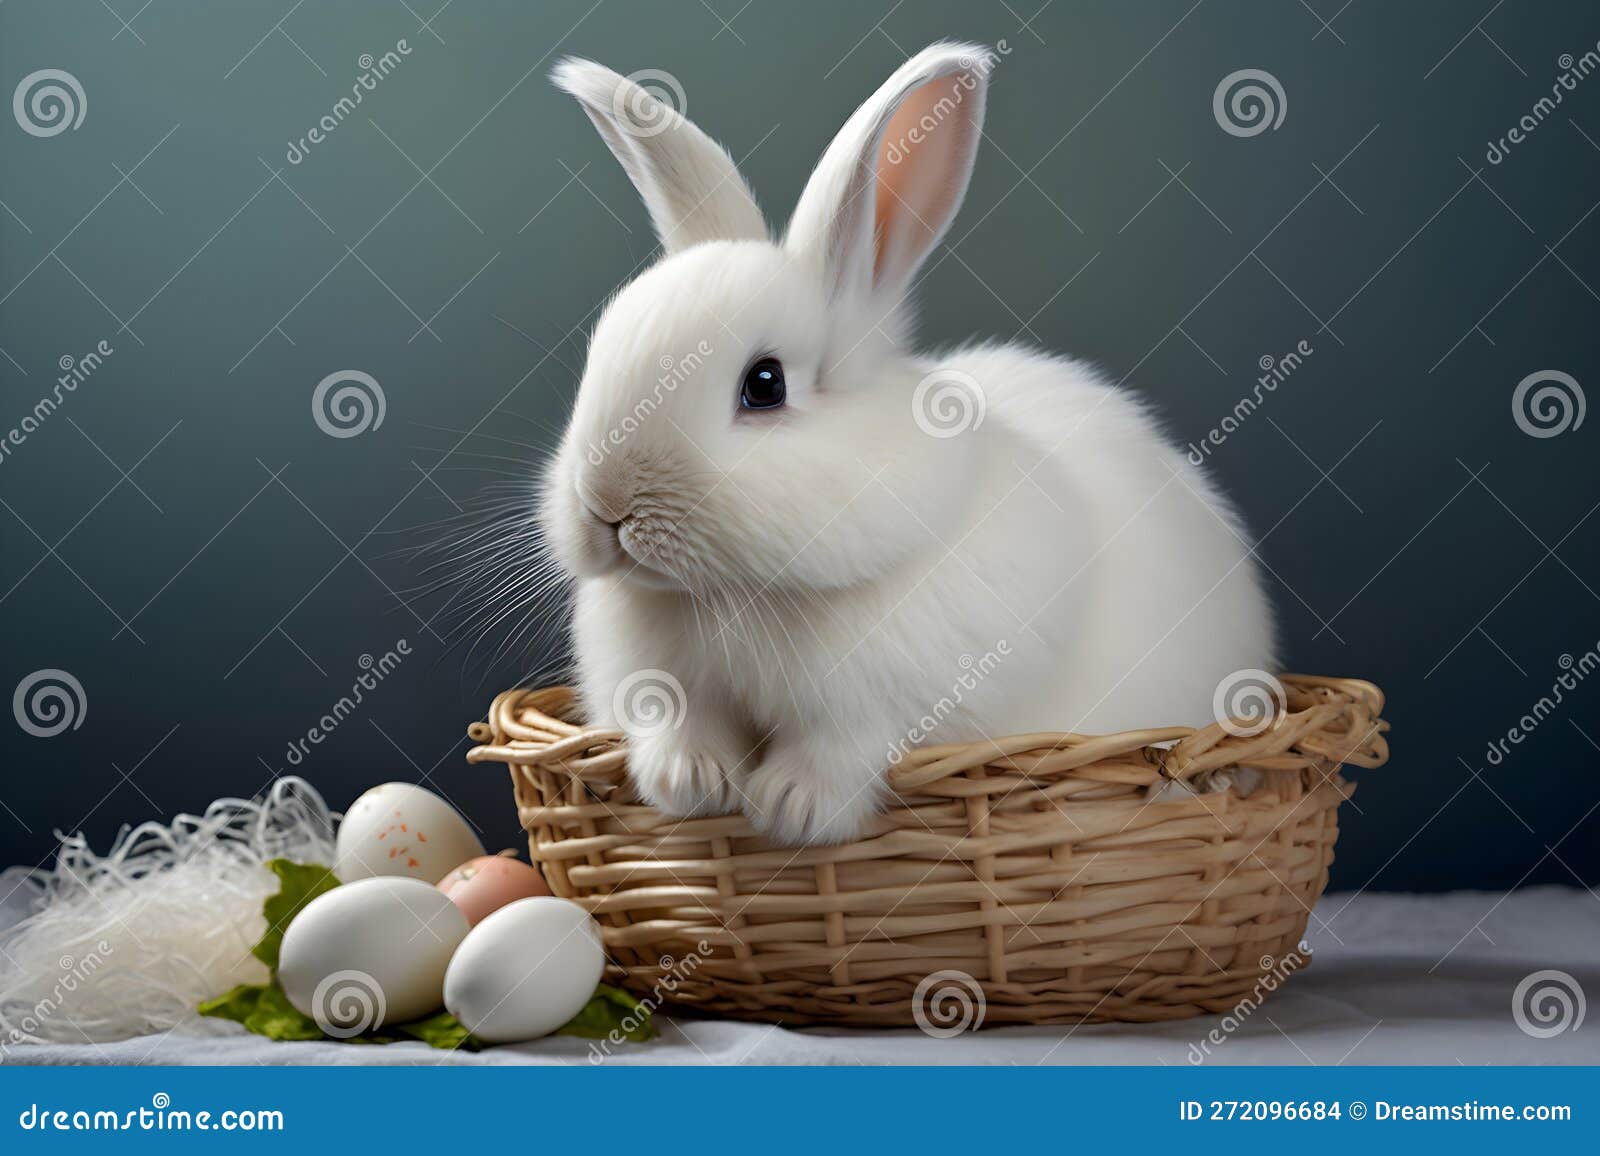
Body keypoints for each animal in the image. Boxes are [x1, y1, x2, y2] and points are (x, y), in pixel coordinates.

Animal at [537, 42, 1278, 846]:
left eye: (764, 385)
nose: (606, 505)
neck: (733, 597)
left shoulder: (893, 702)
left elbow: (844, 748)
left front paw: (790, 809)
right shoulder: (658, 684)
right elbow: (678, 722)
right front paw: (691, 784)